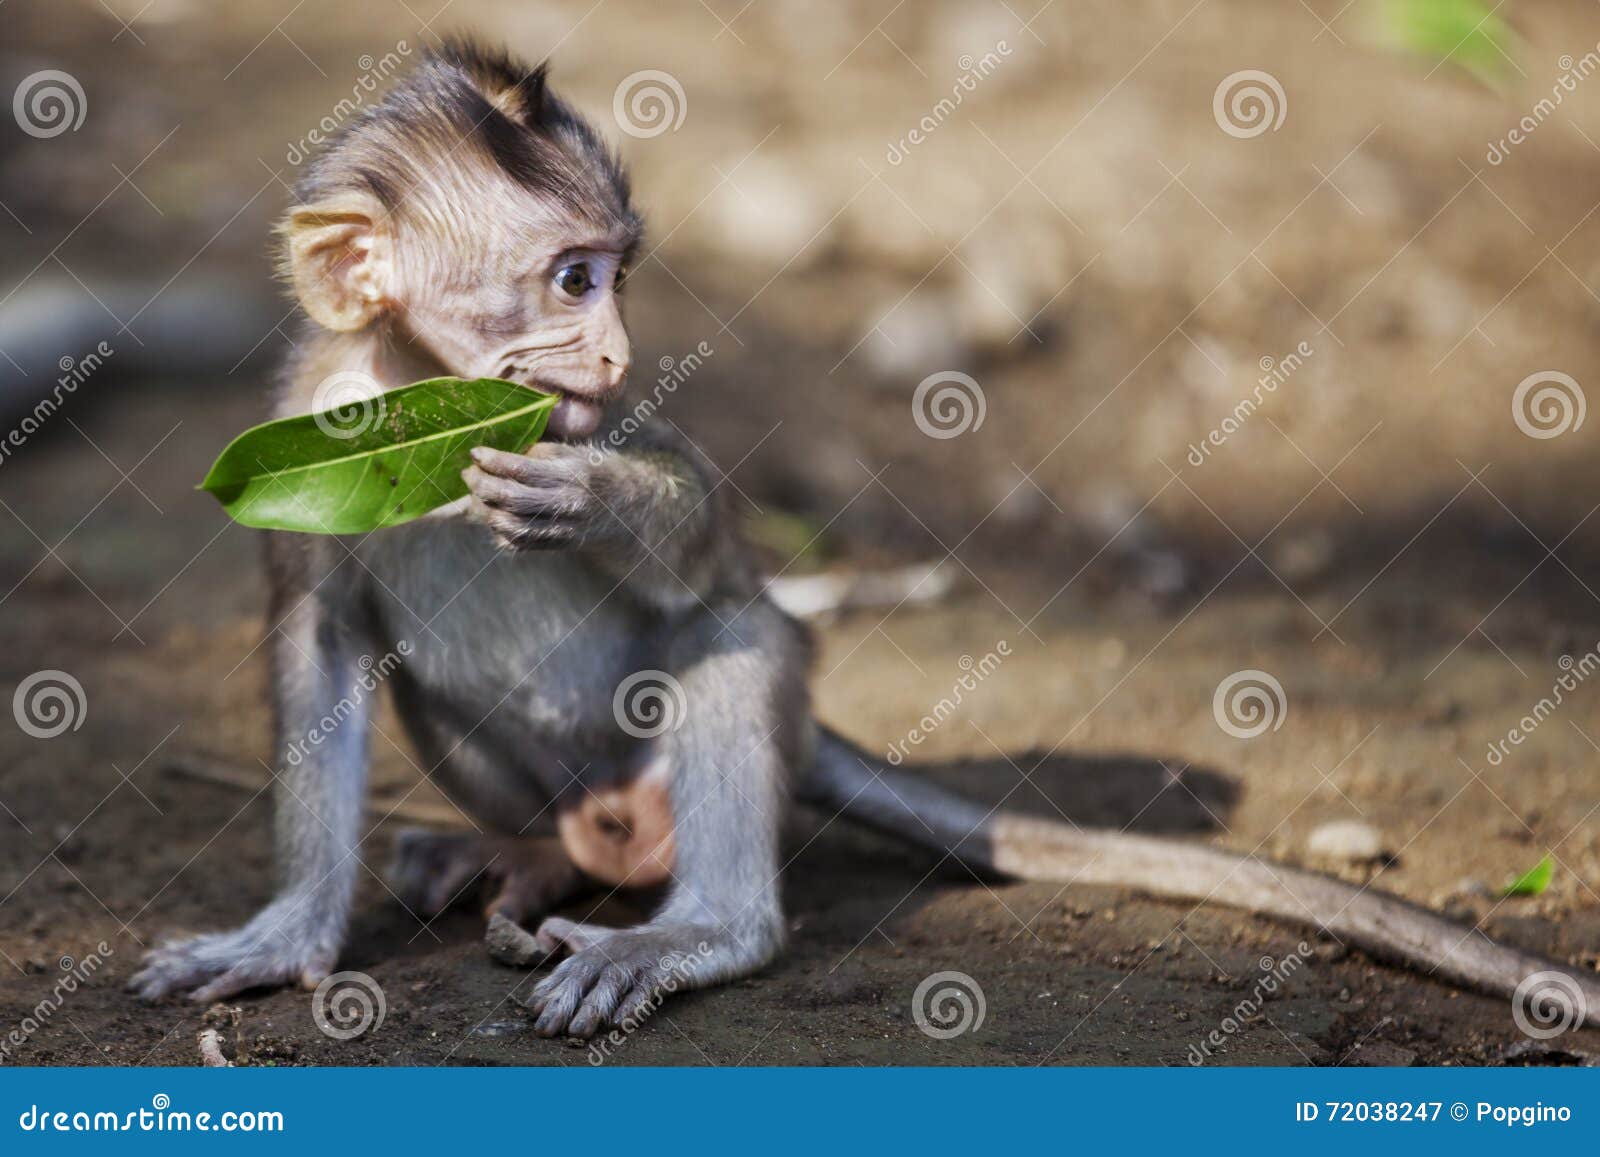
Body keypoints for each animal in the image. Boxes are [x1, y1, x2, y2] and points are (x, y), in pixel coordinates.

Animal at [132, 41, 1600, 1037]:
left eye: (618, 279)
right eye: (569, 278)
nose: (612, 352)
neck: (409, 379)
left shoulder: (596, 429)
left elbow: (702, 550)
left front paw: (598, 500)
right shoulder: (304, 429)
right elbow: (322, 649)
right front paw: (288, 930)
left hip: (713, 750)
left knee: (731, 640)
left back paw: (699, 930)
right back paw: (527, 857)